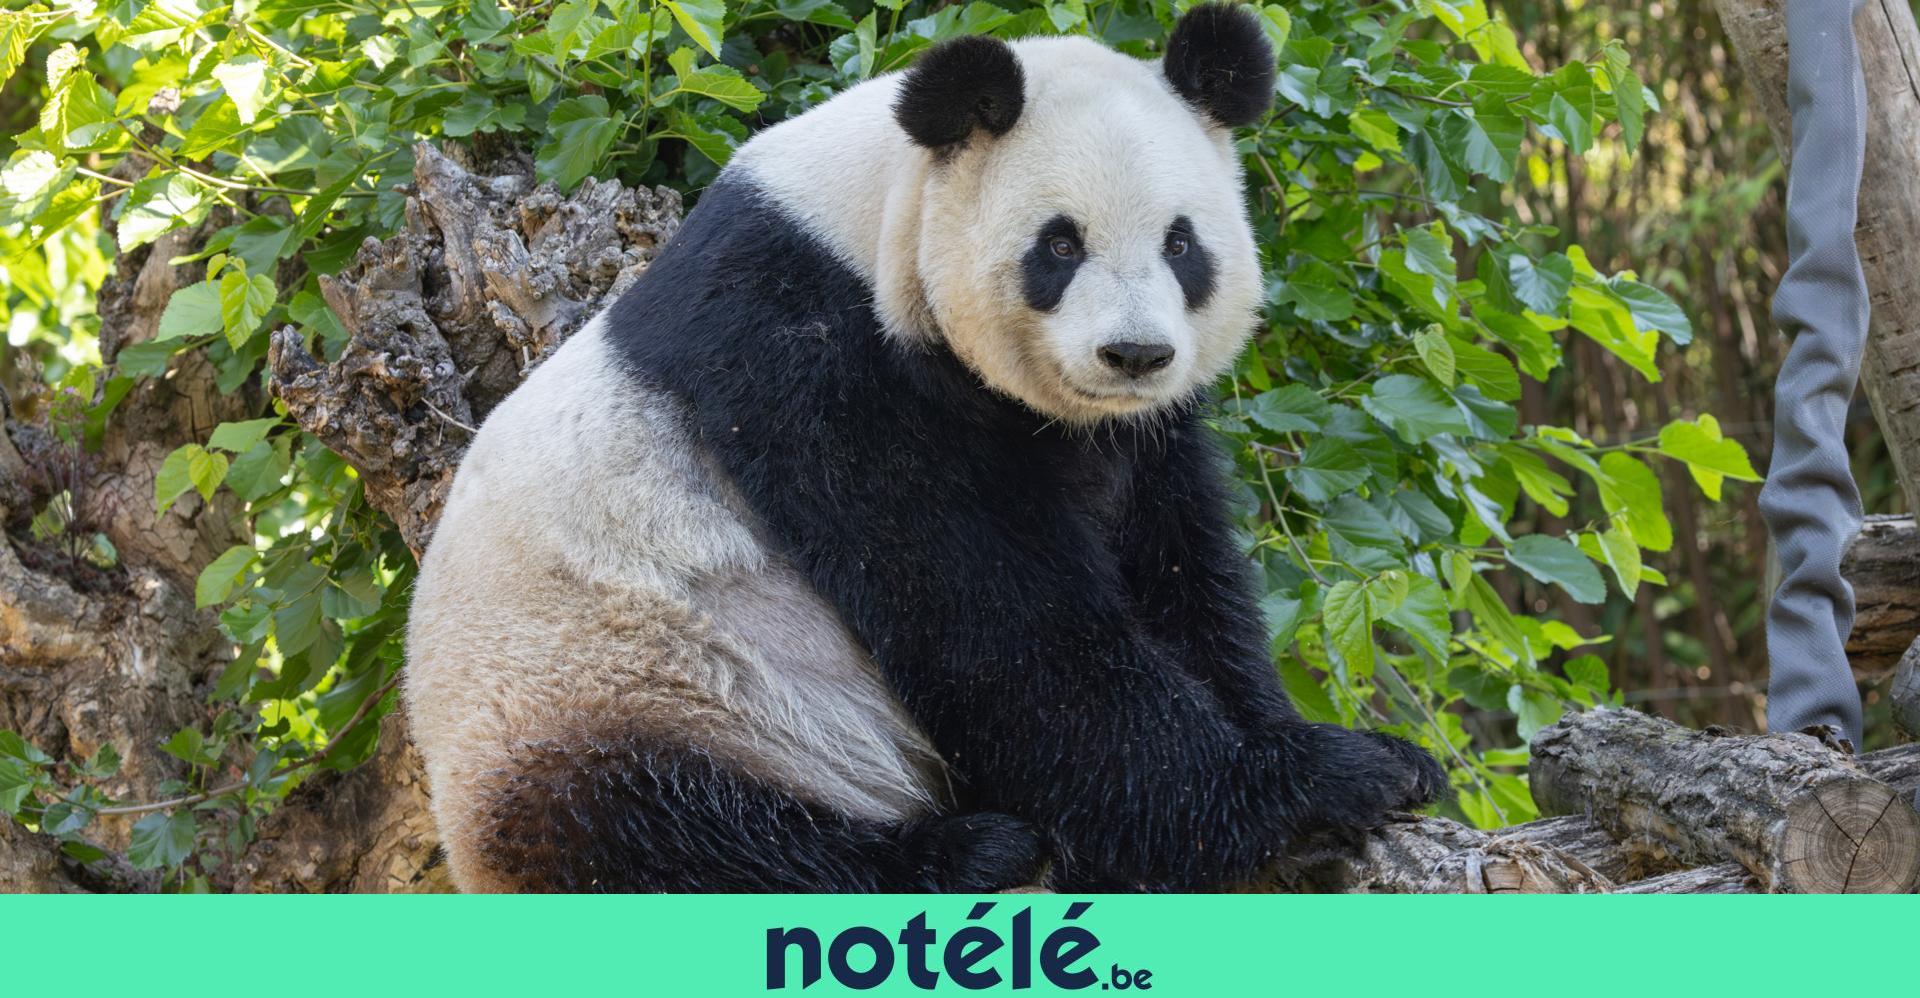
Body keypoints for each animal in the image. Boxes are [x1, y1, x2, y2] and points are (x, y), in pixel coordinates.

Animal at [405, 4, 1445, 893]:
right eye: (1058, 246)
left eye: (1183, 245)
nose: (1135, 354)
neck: (868, 214)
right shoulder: (811, 357)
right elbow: (987, 616)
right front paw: (1310, 785)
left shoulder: (1138, 434)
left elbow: (1177, 565)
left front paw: (1356, 751)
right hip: (610, 689)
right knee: (666, 834)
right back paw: (963, 851)